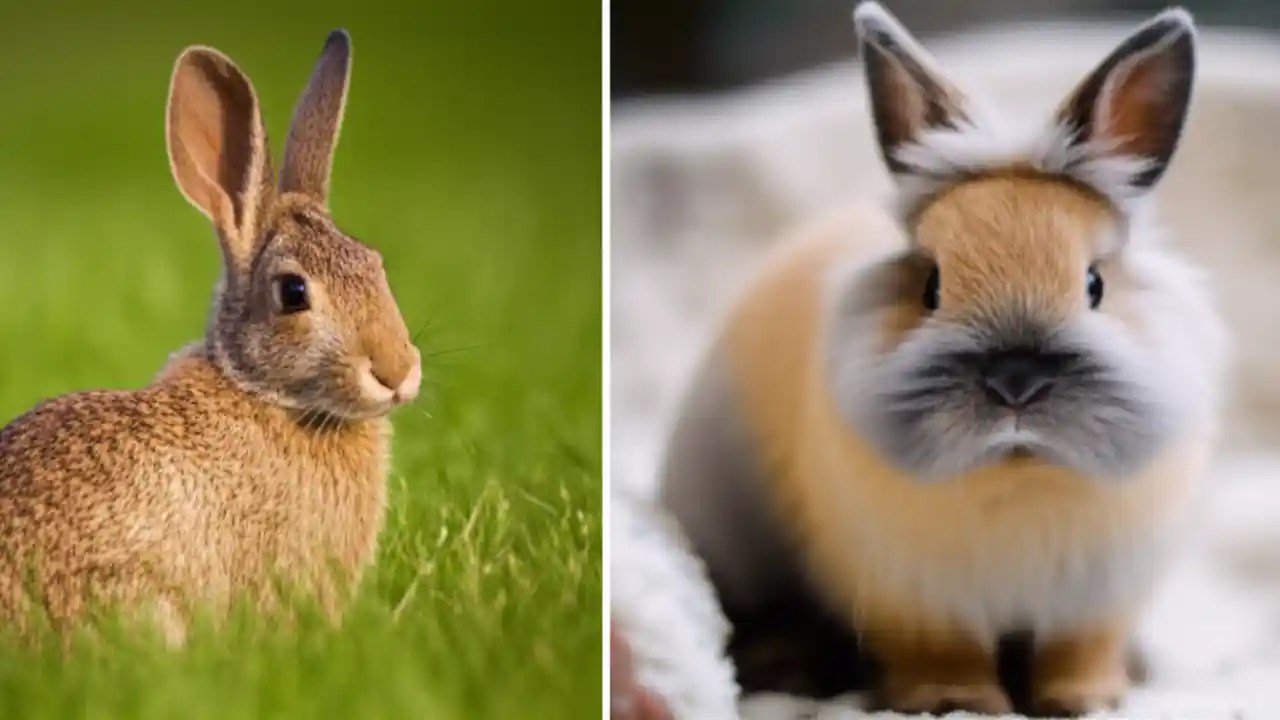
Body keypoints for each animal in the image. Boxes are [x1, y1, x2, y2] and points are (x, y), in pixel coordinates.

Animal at [657, 3, 1226, 716]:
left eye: (1095, 284)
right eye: (931, 285)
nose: (1015, 381)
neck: (1017, 469)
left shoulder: (1094, 604)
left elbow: (1076, 657)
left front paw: (1085, 701)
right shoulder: (914, 600)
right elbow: (944, 657)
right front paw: (957, 701)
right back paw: (788, 669)